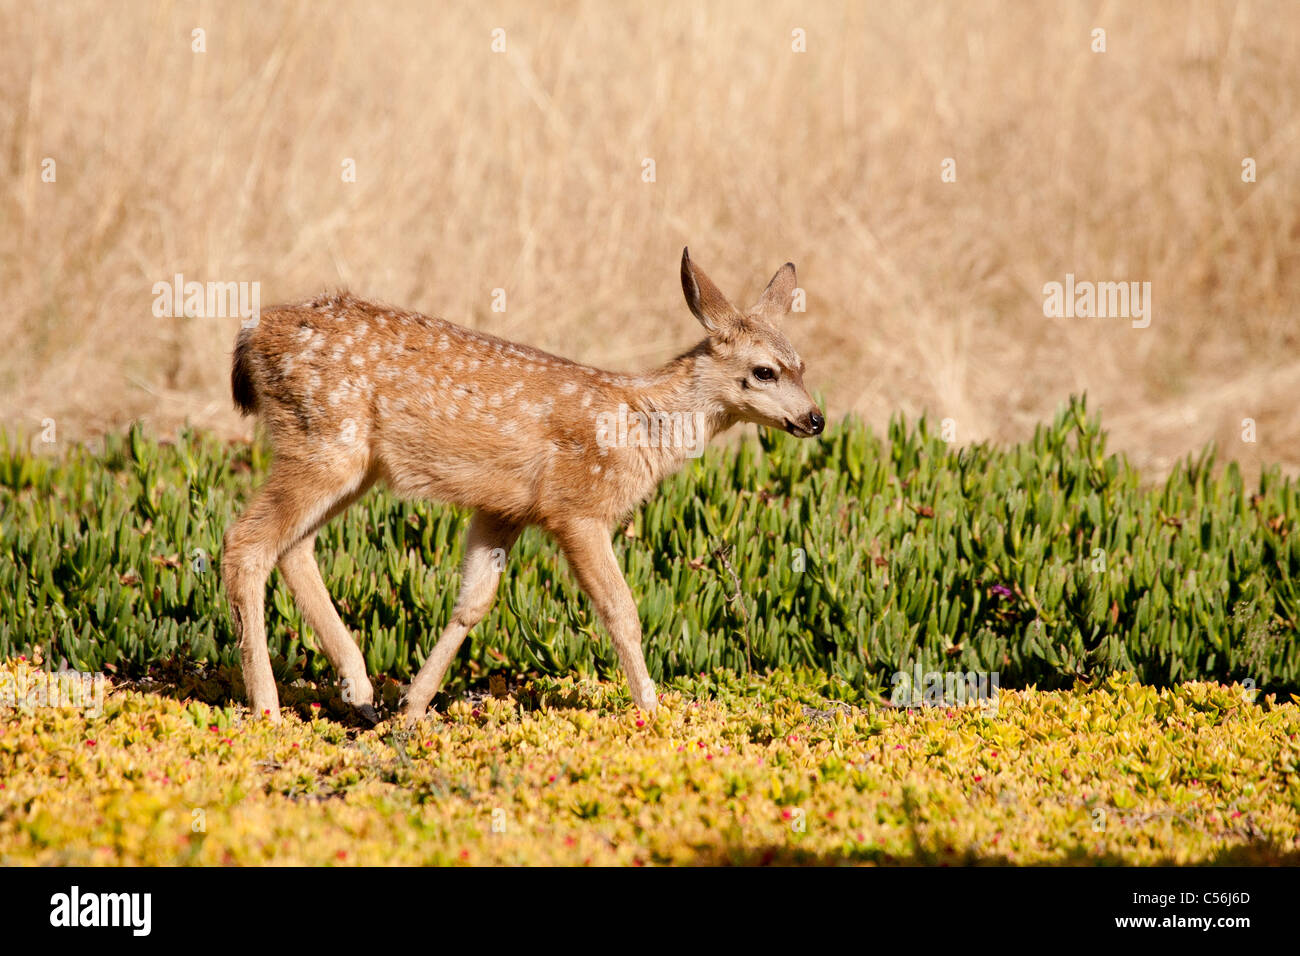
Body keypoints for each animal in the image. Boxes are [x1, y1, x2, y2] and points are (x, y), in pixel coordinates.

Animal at [222, 248, 824, 726]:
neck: (639, 425)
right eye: (765, 370)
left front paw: (412, 707)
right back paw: (268, 708)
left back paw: (360, 691)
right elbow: (621, 611)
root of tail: (250, 335)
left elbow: (473, 603)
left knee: (293, 546)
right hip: (325, 443)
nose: (815, 419)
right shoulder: (577, 508)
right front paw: (652, 712)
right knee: (245, 542)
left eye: (802, 364)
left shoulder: (504, 508)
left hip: (350, 465)